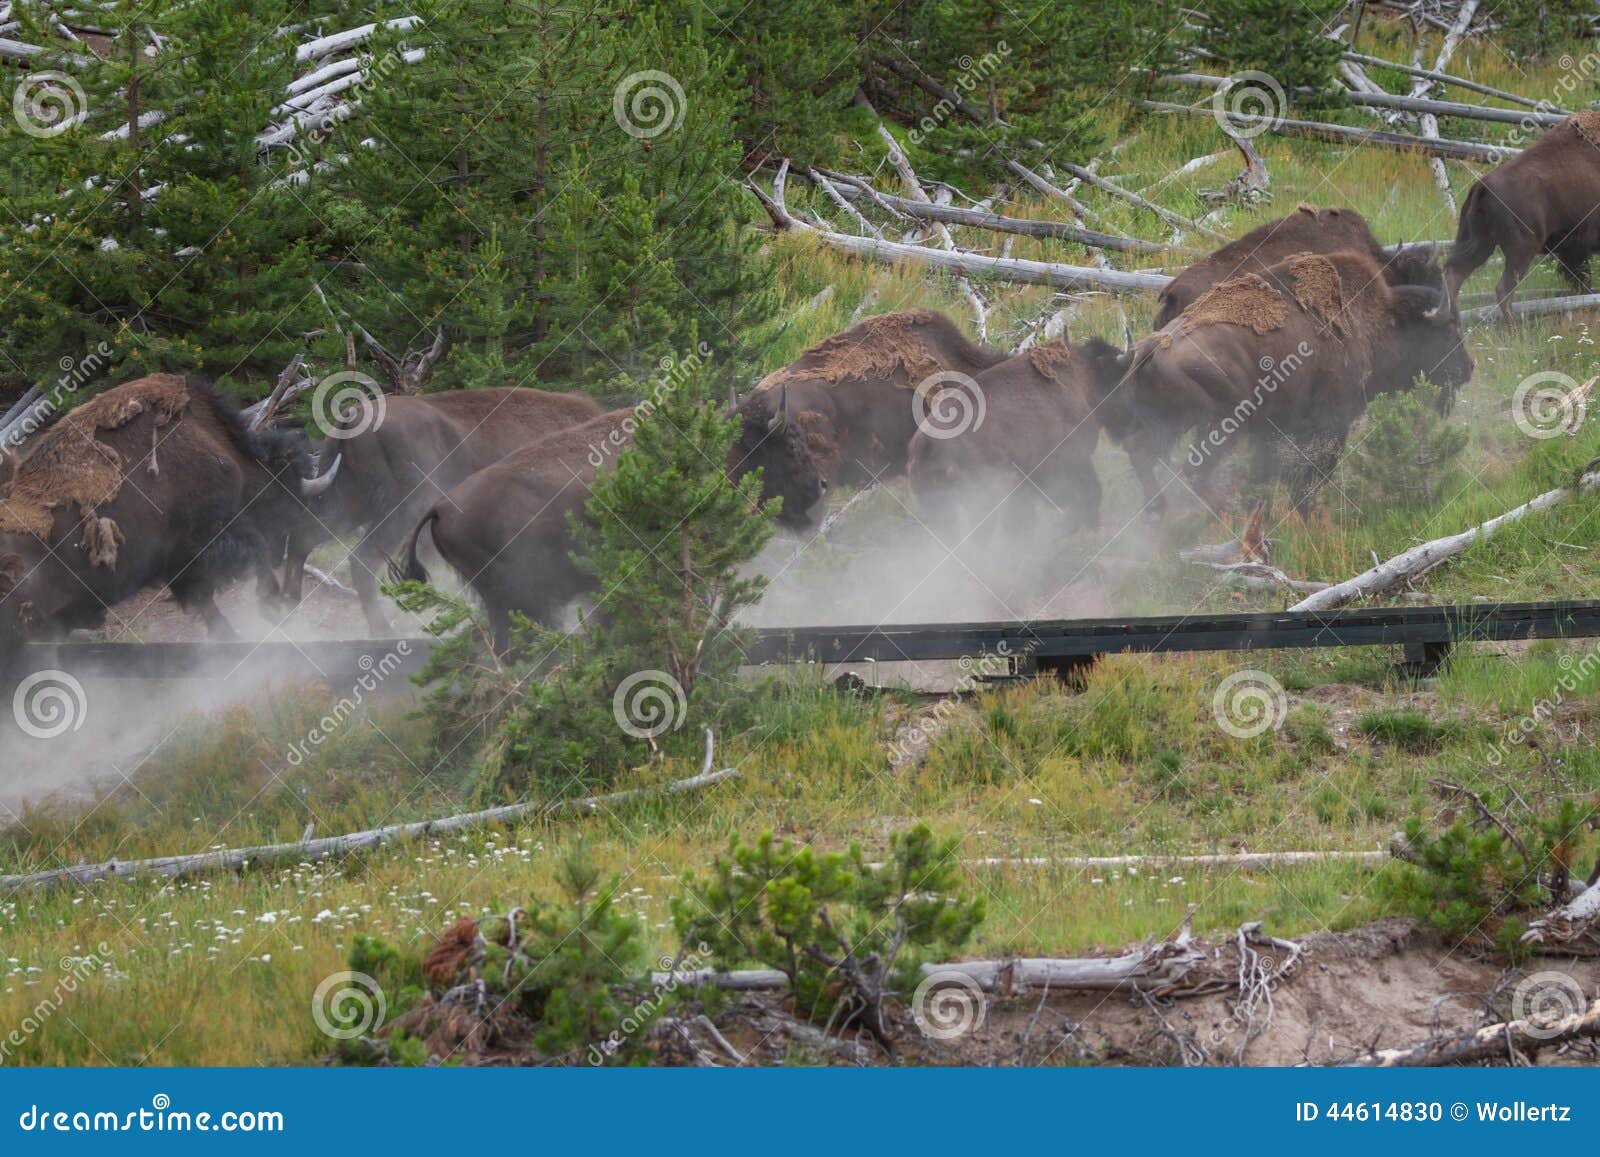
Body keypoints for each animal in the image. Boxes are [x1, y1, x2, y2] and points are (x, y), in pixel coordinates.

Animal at [0, 374, 336, 648]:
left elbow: (204, 601)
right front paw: (270, 609)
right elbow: (251, 564)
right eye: (287, 499)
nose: (287, 550)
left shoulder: (179, 561)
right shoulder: (211, 537)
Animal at [283, 386, 604, 634]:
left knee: (302, 540)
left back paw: (284, 612)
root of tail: (351, 419)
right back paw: (382, 630)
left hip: (346, 505)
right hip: (399, 510)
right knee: (361, 559)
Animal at [1119, 250, 1473, 509]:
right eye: (1449, 330)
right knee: (1193, 470)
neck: (1381, 320)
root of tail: (1150, 347)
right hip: (1216, 427)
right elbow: (1314, 471)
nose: (1468, 369)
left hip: (1166, 427)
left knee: (1144, 457)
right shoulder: (1331, 420)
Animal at [1436, 112, 1600, 322]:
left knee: (1453, 273)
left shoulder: (1573, 249)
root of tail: (1482, 186)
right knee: (1503, 290)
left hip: (1478, 243)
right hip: (1520, 251)